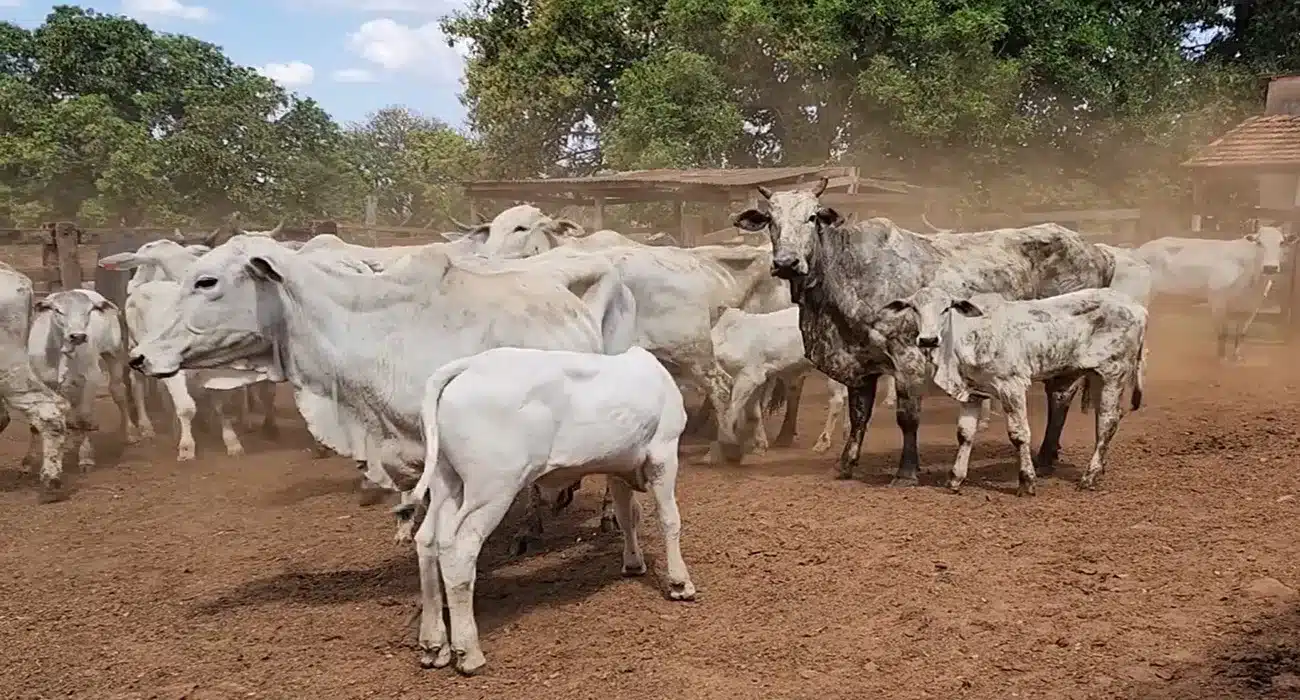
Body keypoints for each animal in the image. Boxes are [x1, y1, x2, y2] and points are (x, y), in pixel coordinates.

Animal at [24, 289, 140, 471]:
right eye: (57, 310)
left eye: (89, 310)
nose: (77, 336)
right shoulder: (40, 381)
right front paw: (29, 460)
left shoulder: (91, 378)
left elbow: (84, 416)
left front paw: (86, 457)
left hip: (113, 354)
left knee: (118, 391)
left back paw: (128, 433)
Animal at [396, 345, 695, 675]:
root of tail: (467, 365)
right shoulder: (663, 455)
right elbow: (669, 519)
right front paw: (680, 583)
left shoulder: (618, 465)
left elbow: (626, 516)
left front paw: (633, 563)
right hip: (492, 487)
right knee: (459, 549)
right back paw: (469, 653)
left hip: (446, 482)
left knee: (428, 541)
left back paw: (433, 646)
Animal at [732, 178, 1115, 484]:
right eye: (770, 220)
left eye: (811, 217)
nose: (786, 262)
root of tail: (1095, 251)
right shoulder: (861, 363)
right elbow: (859, 415)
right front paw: (846, 464)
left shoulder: (907, 356)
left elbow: (907, 417)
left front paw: (906, 471)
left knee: (1060, 398)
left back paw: (1046, 458)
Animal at [880, 286, 1147, 494]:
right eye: (914, 308)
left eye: (946, 308)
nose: (928, 340)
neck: (969, 337)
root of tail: (1138, 308)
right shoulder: (973, 393)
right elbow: (965, 434)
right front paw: (955, 479)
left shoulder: (1012, 385)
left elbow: (1019, 434)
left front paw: (1027, 481)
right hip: (1096, 375)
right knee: (1104, 420)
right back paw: (1099, 469)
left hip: (1113, 372)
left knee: (1107, 422)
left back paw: (1089, 476)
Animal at [1131, 226, 1294, 360]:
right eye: (1259, 242)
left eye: (1281, 243)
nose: (1270, 267)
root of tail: (1140, 249)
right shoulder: (1218, 300)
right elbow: (1223, 333)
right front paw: (1221, 358)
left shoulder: (1252, 307)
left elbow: (1241, 334)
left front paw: (1237, 357)